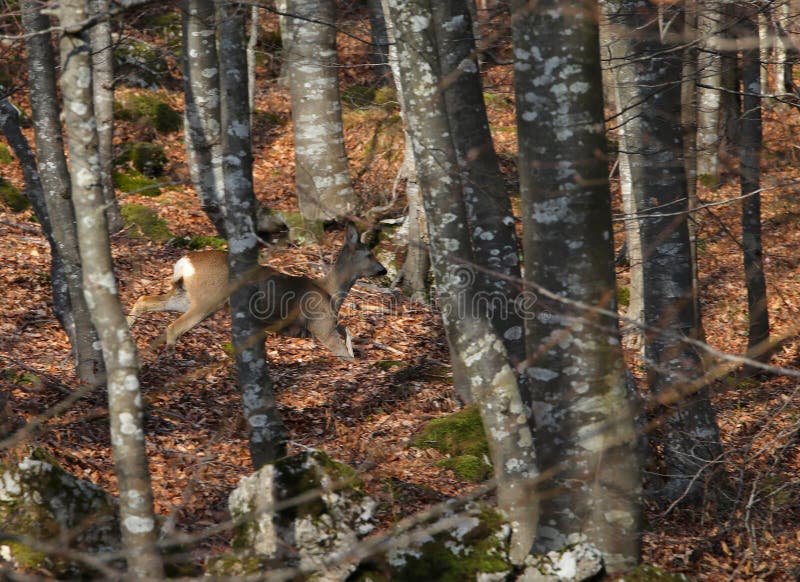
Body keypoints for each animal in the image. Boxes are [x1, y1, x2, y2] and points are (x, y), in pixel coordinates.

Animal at [127, 222, 386, 359]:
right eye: (369, 254)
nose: (383, 270)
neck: (330, 292)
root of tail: (185, 262)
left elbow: (347, 330)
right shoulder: (320, 325)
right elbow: (344, 352)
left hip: (186, 295)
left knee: (145, 299)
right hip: (207, 299)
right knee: (174, 326)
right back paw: (170, 355)